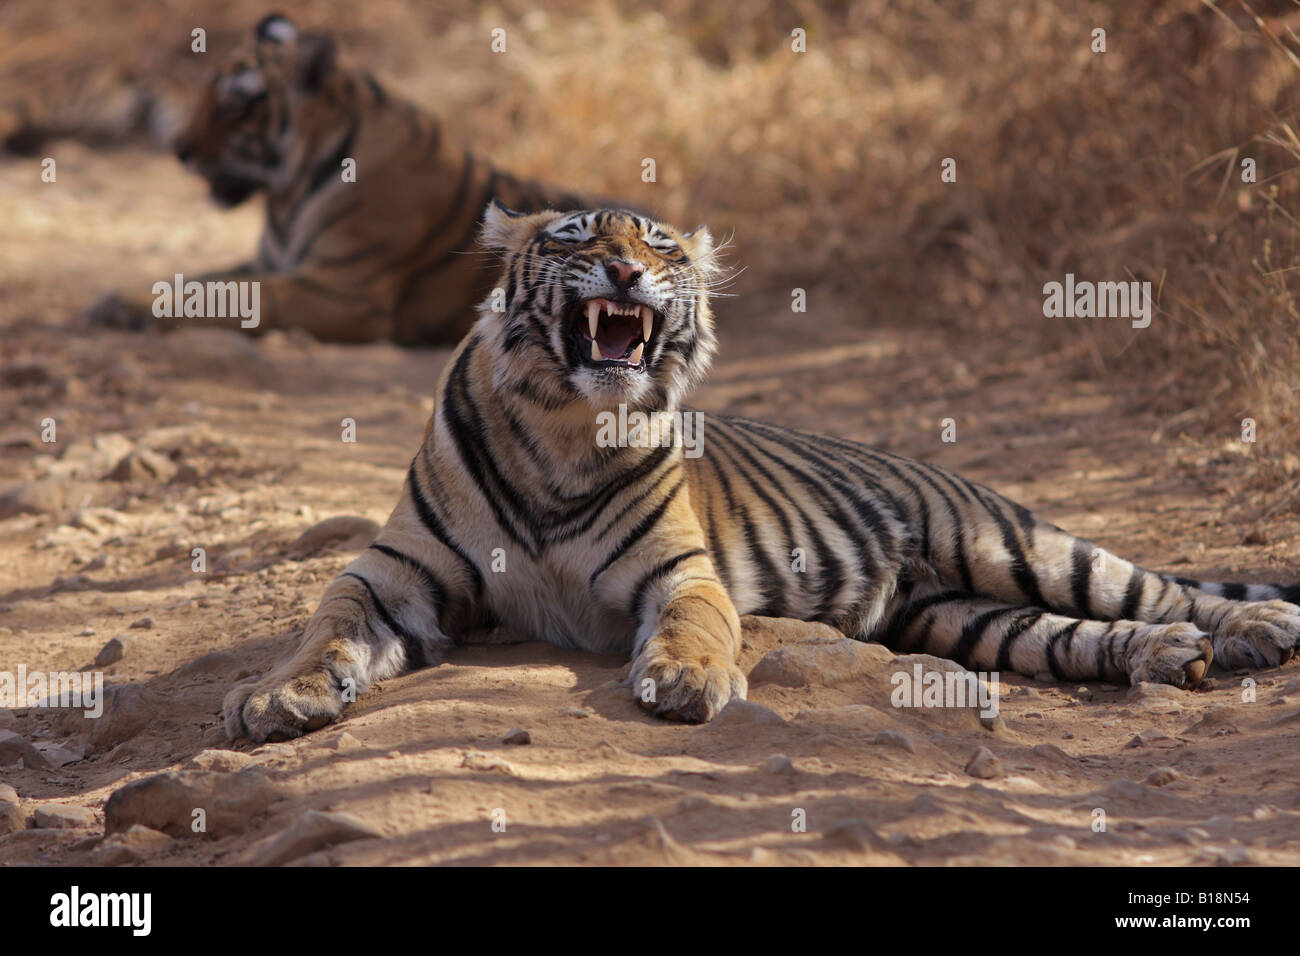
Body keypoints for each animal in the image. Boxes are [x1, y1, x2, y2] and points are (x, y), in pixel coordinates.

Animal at [81, 14, 589, 345]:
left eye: (236, 103)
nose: (178, 148)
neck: (285, 198)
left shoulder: (342, 291)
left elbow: (235, 297)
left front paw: (130, 308)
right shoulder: (266, 262)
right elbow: (200, 279)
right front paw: (115, 300)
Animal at [223, 202, 1300, 742]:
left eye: (659, 246)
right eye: (578, 237)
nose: (628, 271)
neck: (568, 424)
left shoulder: (679, 572)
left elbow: (700, 624)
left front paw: (687, 681)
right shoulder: (392, 572)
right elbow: (325, 626)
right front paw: (276, 697)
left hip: (1013, 544)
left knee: (1157, 587)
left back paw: (1256, 628)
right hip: (960, 616)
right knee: (1083, 634)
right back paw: (1169, 659)